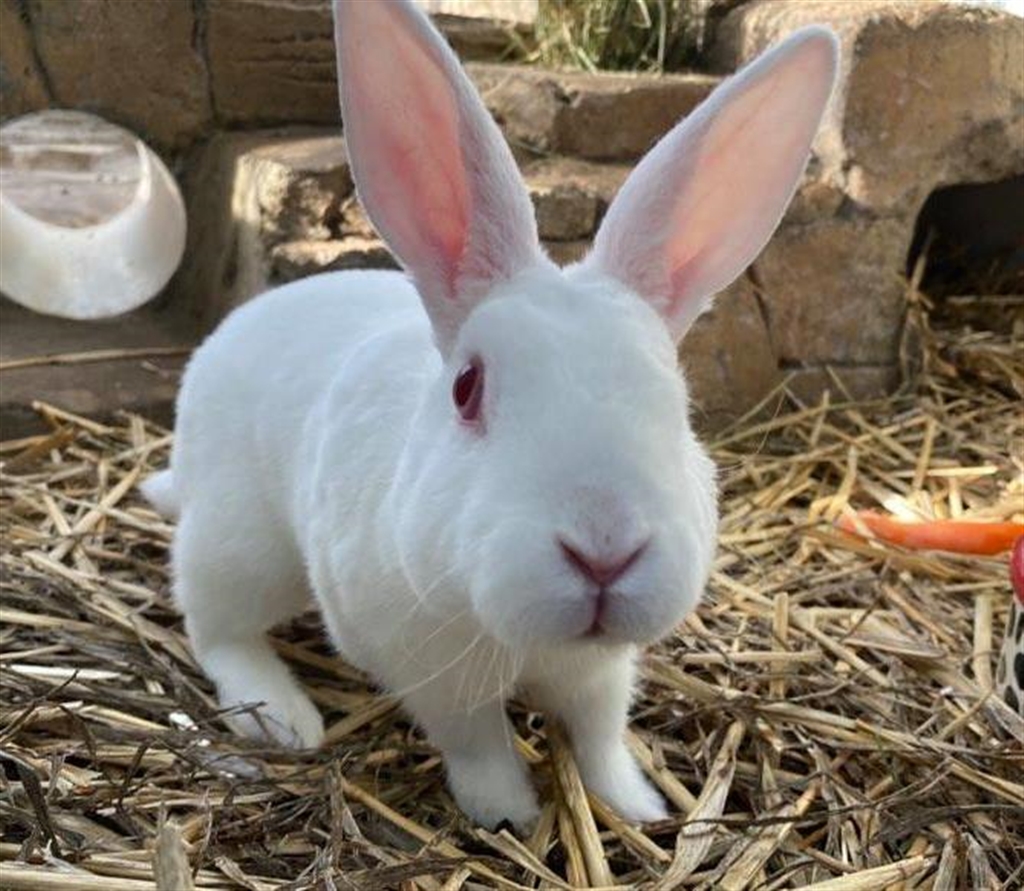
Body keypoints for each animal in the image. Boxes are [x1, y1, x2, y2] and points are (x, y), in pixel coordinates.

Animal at [142, 0, 838, 830]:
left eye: (677, 399)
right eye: (467, 388)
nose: (604, 553)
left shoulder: (602, 673)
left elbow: (600, 733)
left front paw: (636, 805)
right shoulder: (433, 673)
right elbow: (476, 741)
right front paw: (509, 814)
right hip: (240, 545)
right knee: (214, 622)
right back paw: (283, 717)